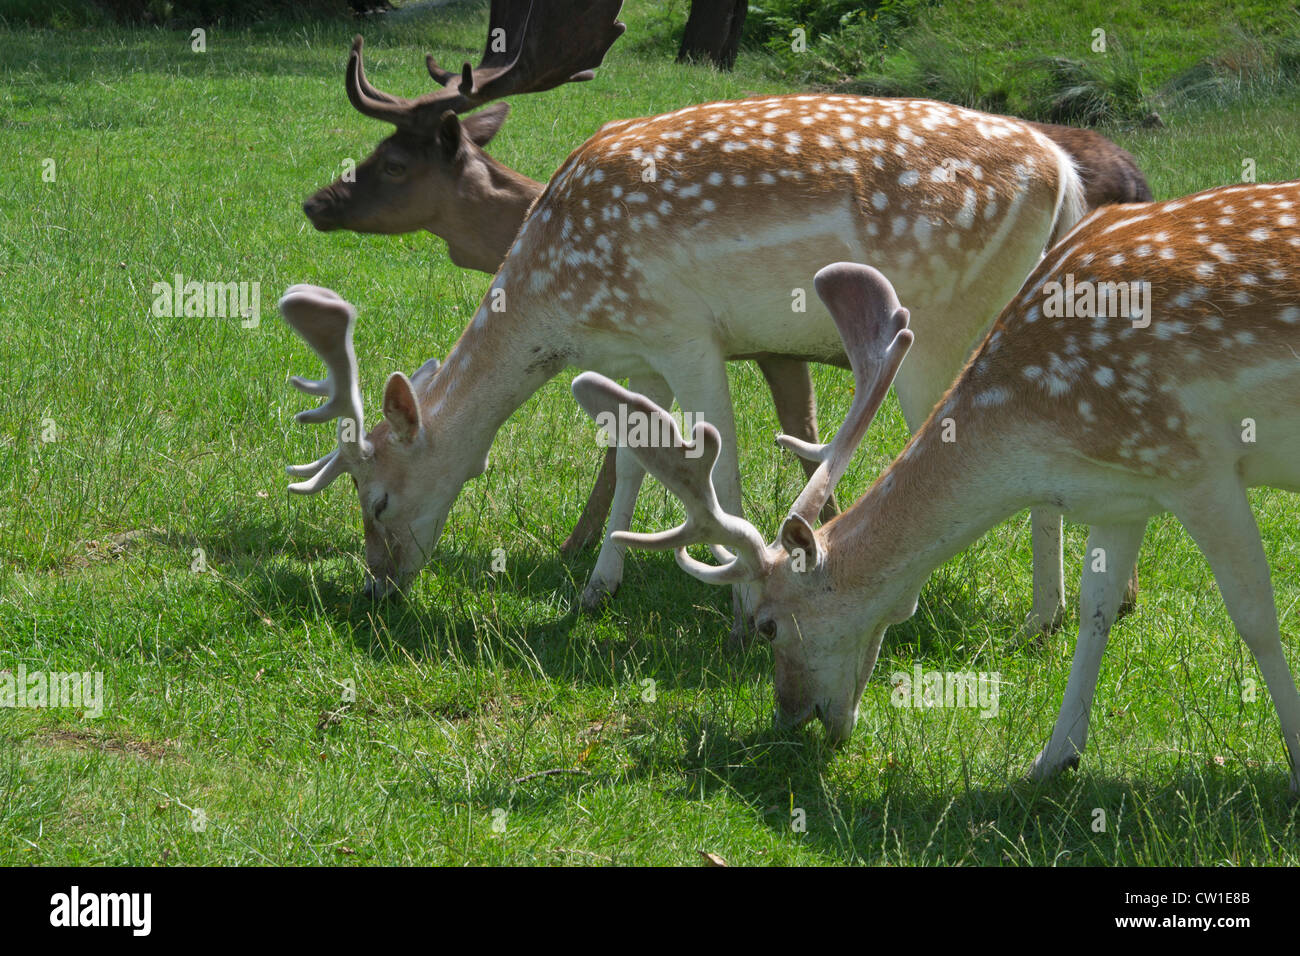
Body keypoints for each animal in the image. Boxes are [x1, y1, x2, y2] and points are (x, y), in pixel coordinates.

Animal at [298, 3, 1151, 634]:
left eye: (377, 498)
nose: (377, 586)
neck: (558, 291)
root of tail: (1061, 170)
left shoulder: (688, 334)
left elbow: (723, 460)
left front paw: (738, 602)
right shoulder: (634, 354)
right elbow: (631, 461)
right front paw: (597, 586)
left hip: (947, 323)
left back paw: (1008, 614)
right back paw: (1059, 612)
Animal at [570, 181, 1300, 790]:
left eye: (768, 625)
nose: (790, 717)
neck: (1041, 427)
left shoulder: (1195, 463)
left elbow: (1256, 619)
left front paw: (1293, 766)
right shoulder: (1123, 488)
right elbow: (1094, 614)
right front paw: (1053, 759)